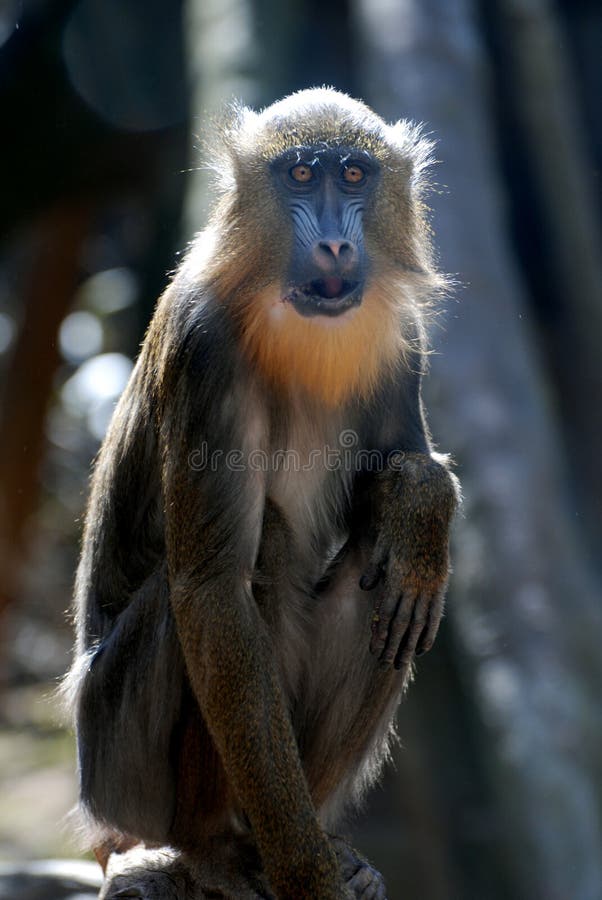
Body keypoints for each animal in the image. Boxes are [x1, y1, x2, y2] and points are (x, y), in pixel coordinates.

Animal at [64, 88, 459, 899]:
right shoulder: (203, 348)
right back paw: (214, 846)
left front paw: (424, 505)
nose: (335, 246)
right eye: (301, 175)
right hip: (119, 762)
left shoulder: (402, 339)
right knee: (246, 560)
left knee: (386, 583)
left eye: (353, 173)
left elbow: (404, 464)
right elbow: (213, 591)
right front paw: (306, 874)